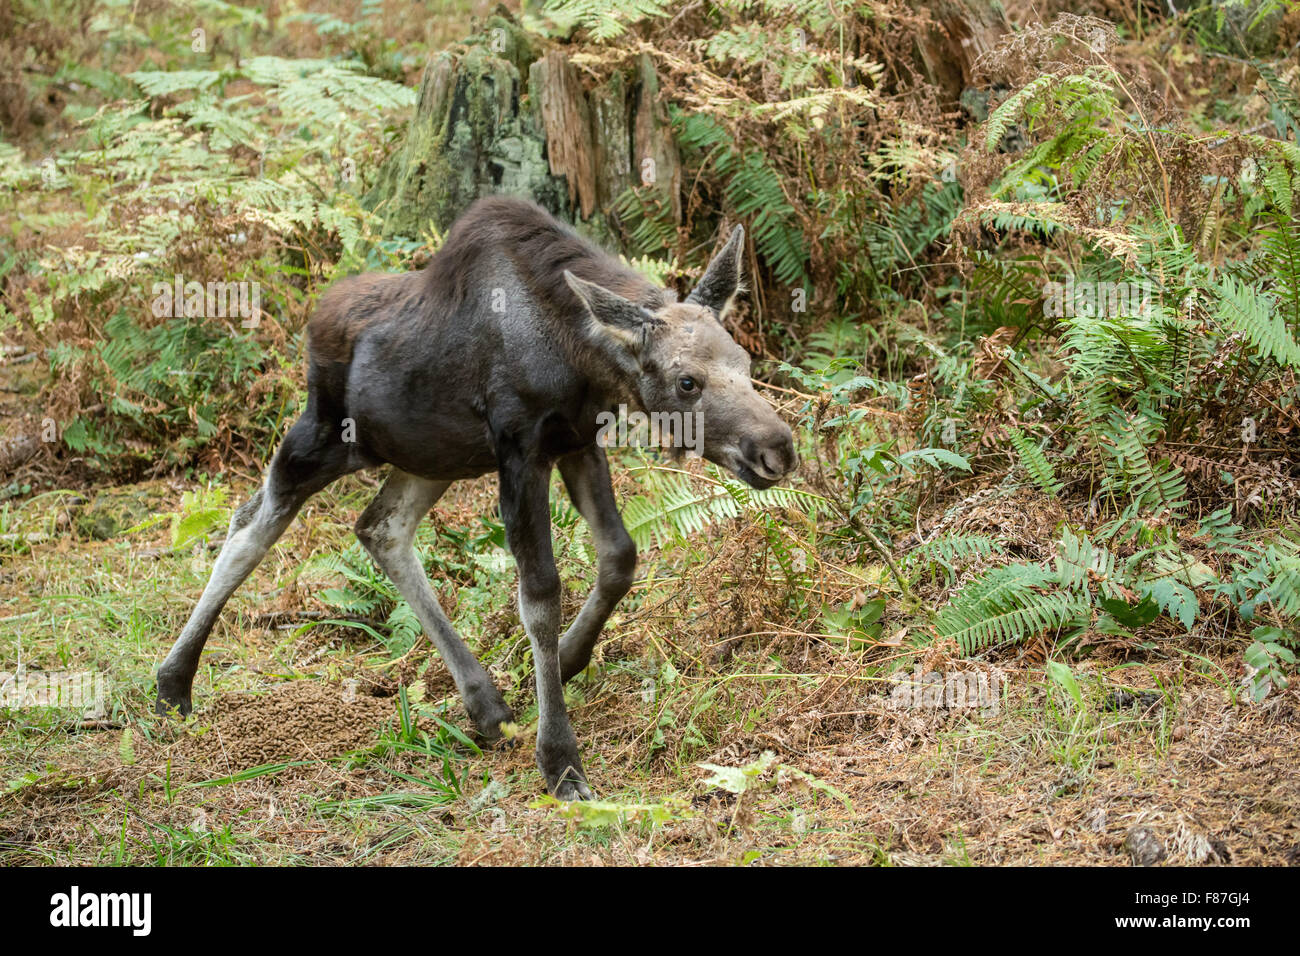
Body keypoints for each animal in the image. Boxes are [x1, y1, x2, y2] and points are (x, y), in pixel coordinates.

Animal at [156, 196, 797, 799]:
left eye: (745, 362)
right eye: (687, 381)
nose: (778, 449)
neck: (582, 358)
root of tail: (313, 321)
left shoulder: (577, 442)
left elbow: (620, 556)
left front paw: (568, 660)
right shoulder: (520, 452)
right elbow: (539, 595)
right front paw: (559, 758)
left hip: (432, 457)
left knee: (379, 528)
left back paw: (484, 703)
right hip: (327, 434)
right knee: (253, 521)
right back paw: (173, 681)